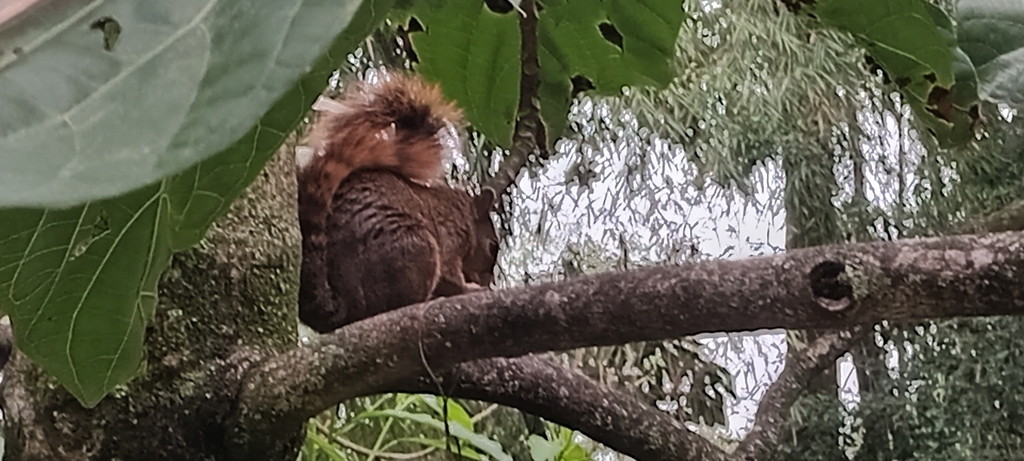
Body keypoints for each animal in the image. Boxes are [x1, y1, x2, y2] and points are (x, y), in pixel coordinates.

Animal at [296, 73, 499, 334]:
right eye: (492, 246)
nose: (488, 280)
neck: (462, 210)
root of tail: (347, 307)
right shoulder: (451, 238)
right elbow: (450, 274)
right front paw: (469, 289)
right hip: (414, 247)